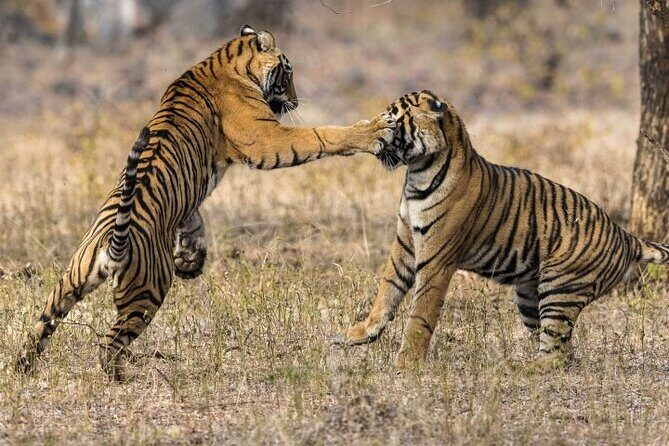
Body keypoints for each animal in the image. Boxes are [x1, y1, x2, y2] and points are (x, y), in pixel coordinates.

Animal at [16, 24, 395, 381]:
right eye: (288, 74)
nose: (296, 101)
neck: (227, 60)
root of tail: (113, 245)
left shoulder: (191, 197)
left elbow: (193, 221)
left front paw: (191, 259)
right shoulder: (266, 140)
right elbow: (320, 135)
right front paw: (373, 131)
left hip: (69, 281)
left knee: (42, 325)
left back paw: (23, 366)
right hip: (147, 292)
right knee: (108, 344)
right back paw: (121, 376)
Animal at [334, 90, 669, 372]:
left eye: (392, 119)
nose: (375, 131)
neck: (417, 173)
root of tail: (625, 236)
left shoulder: (436, 259)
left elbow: (420, 314)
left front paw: (407, 363)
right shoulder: (405, 243)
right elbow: (387, 290)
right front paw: (358, 333)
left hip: (560, 290)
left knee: (556, 355)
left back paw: (517, 368)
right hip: (531, 296)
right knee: (562, 351)